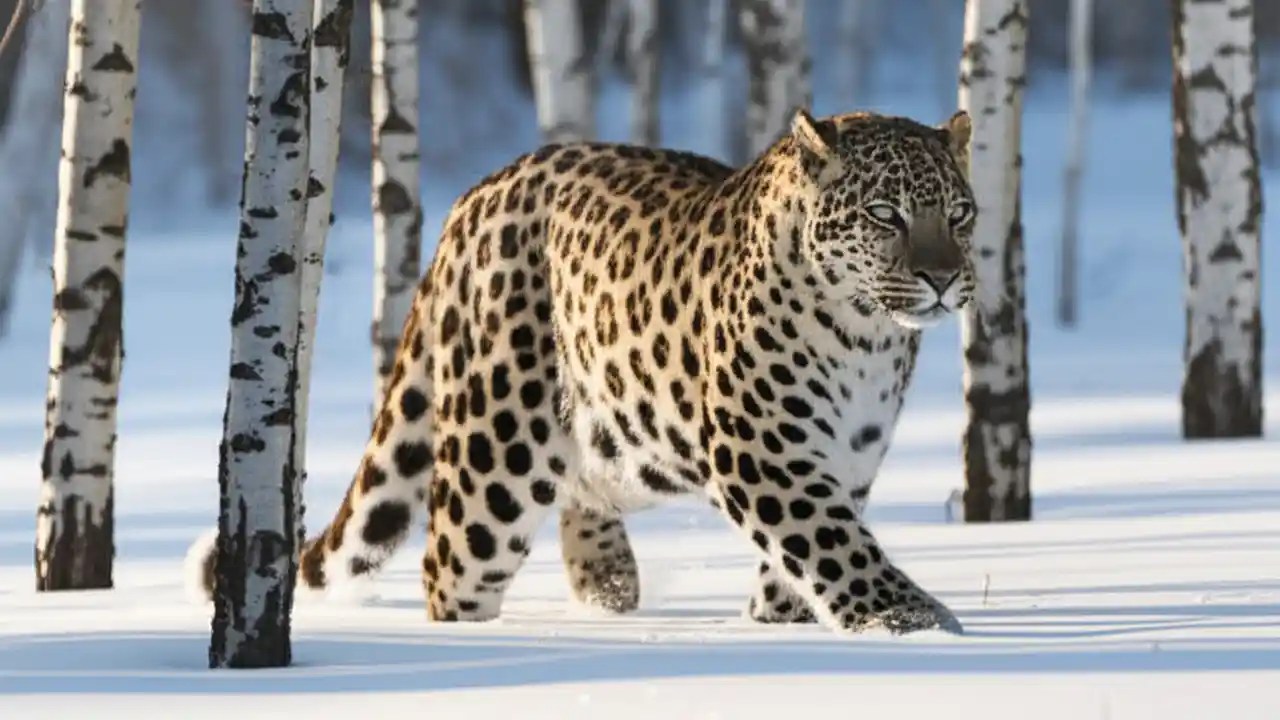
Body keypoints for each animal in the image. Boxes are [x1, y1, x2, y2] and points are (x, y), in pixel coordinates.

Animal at [193, 108, 977, 635]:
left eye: (961, 214)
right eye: (884, 213)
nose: (942, 280)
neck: (867, 335)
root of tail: (472, 199)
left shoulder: (851, 453)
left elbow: (812, 552)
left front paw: (782, 624)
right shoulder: (762, 448)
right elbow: (832, 543)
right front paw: (919, 625)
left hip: (622, 432)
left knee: (583, 487)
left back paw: (609, 585)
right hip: (495, 454)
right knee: (450, 563)